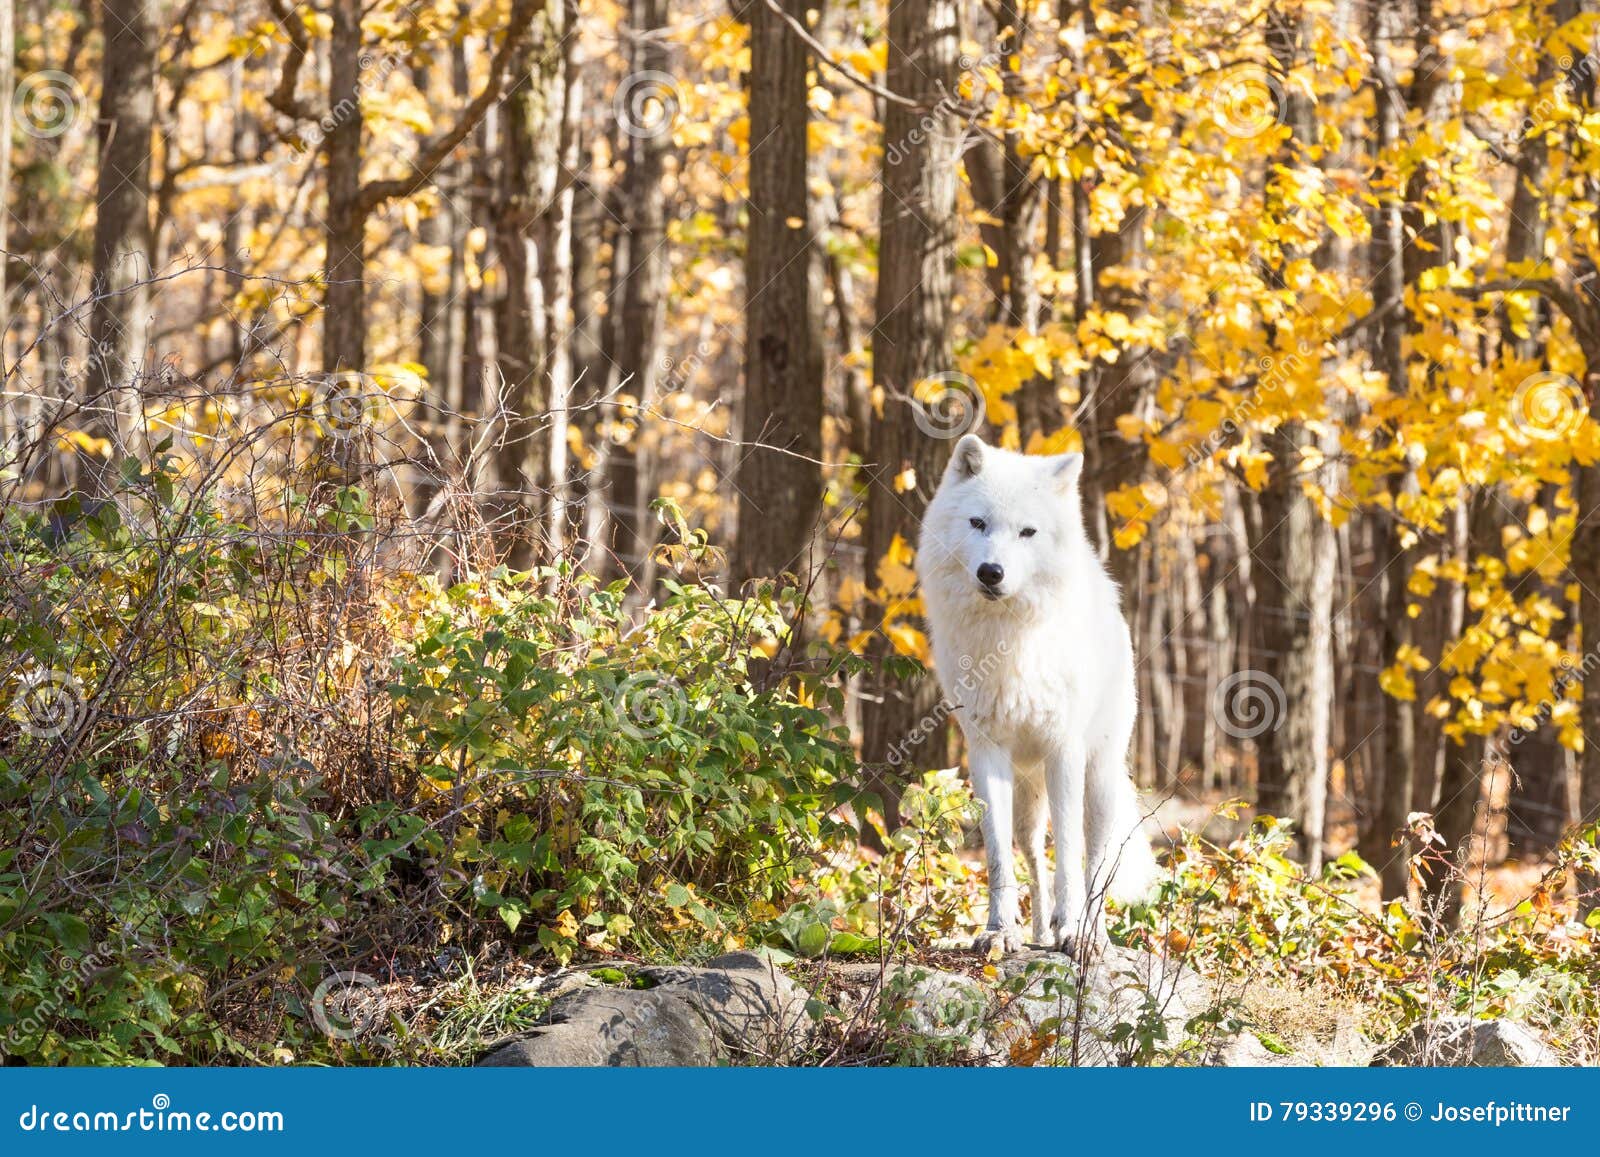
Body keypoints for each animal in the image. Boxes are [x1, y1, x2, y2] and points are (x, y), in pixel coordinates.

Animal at [916, 433, 1160, 955]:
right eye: (978, 523)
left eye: (1027, 532)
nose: (991, 572)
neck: (1008, 642)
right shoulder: (985, 752)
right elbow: (997, 856)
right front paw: (998, 932)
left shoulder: (1063, 750)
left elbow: (1068, 854)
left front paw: (1072, 931)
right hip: (1028, 795)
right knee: (1032, 854)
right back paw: (1037, 932)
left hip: (1098, 781)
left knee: (1093, 863)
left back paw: (1091, 933)